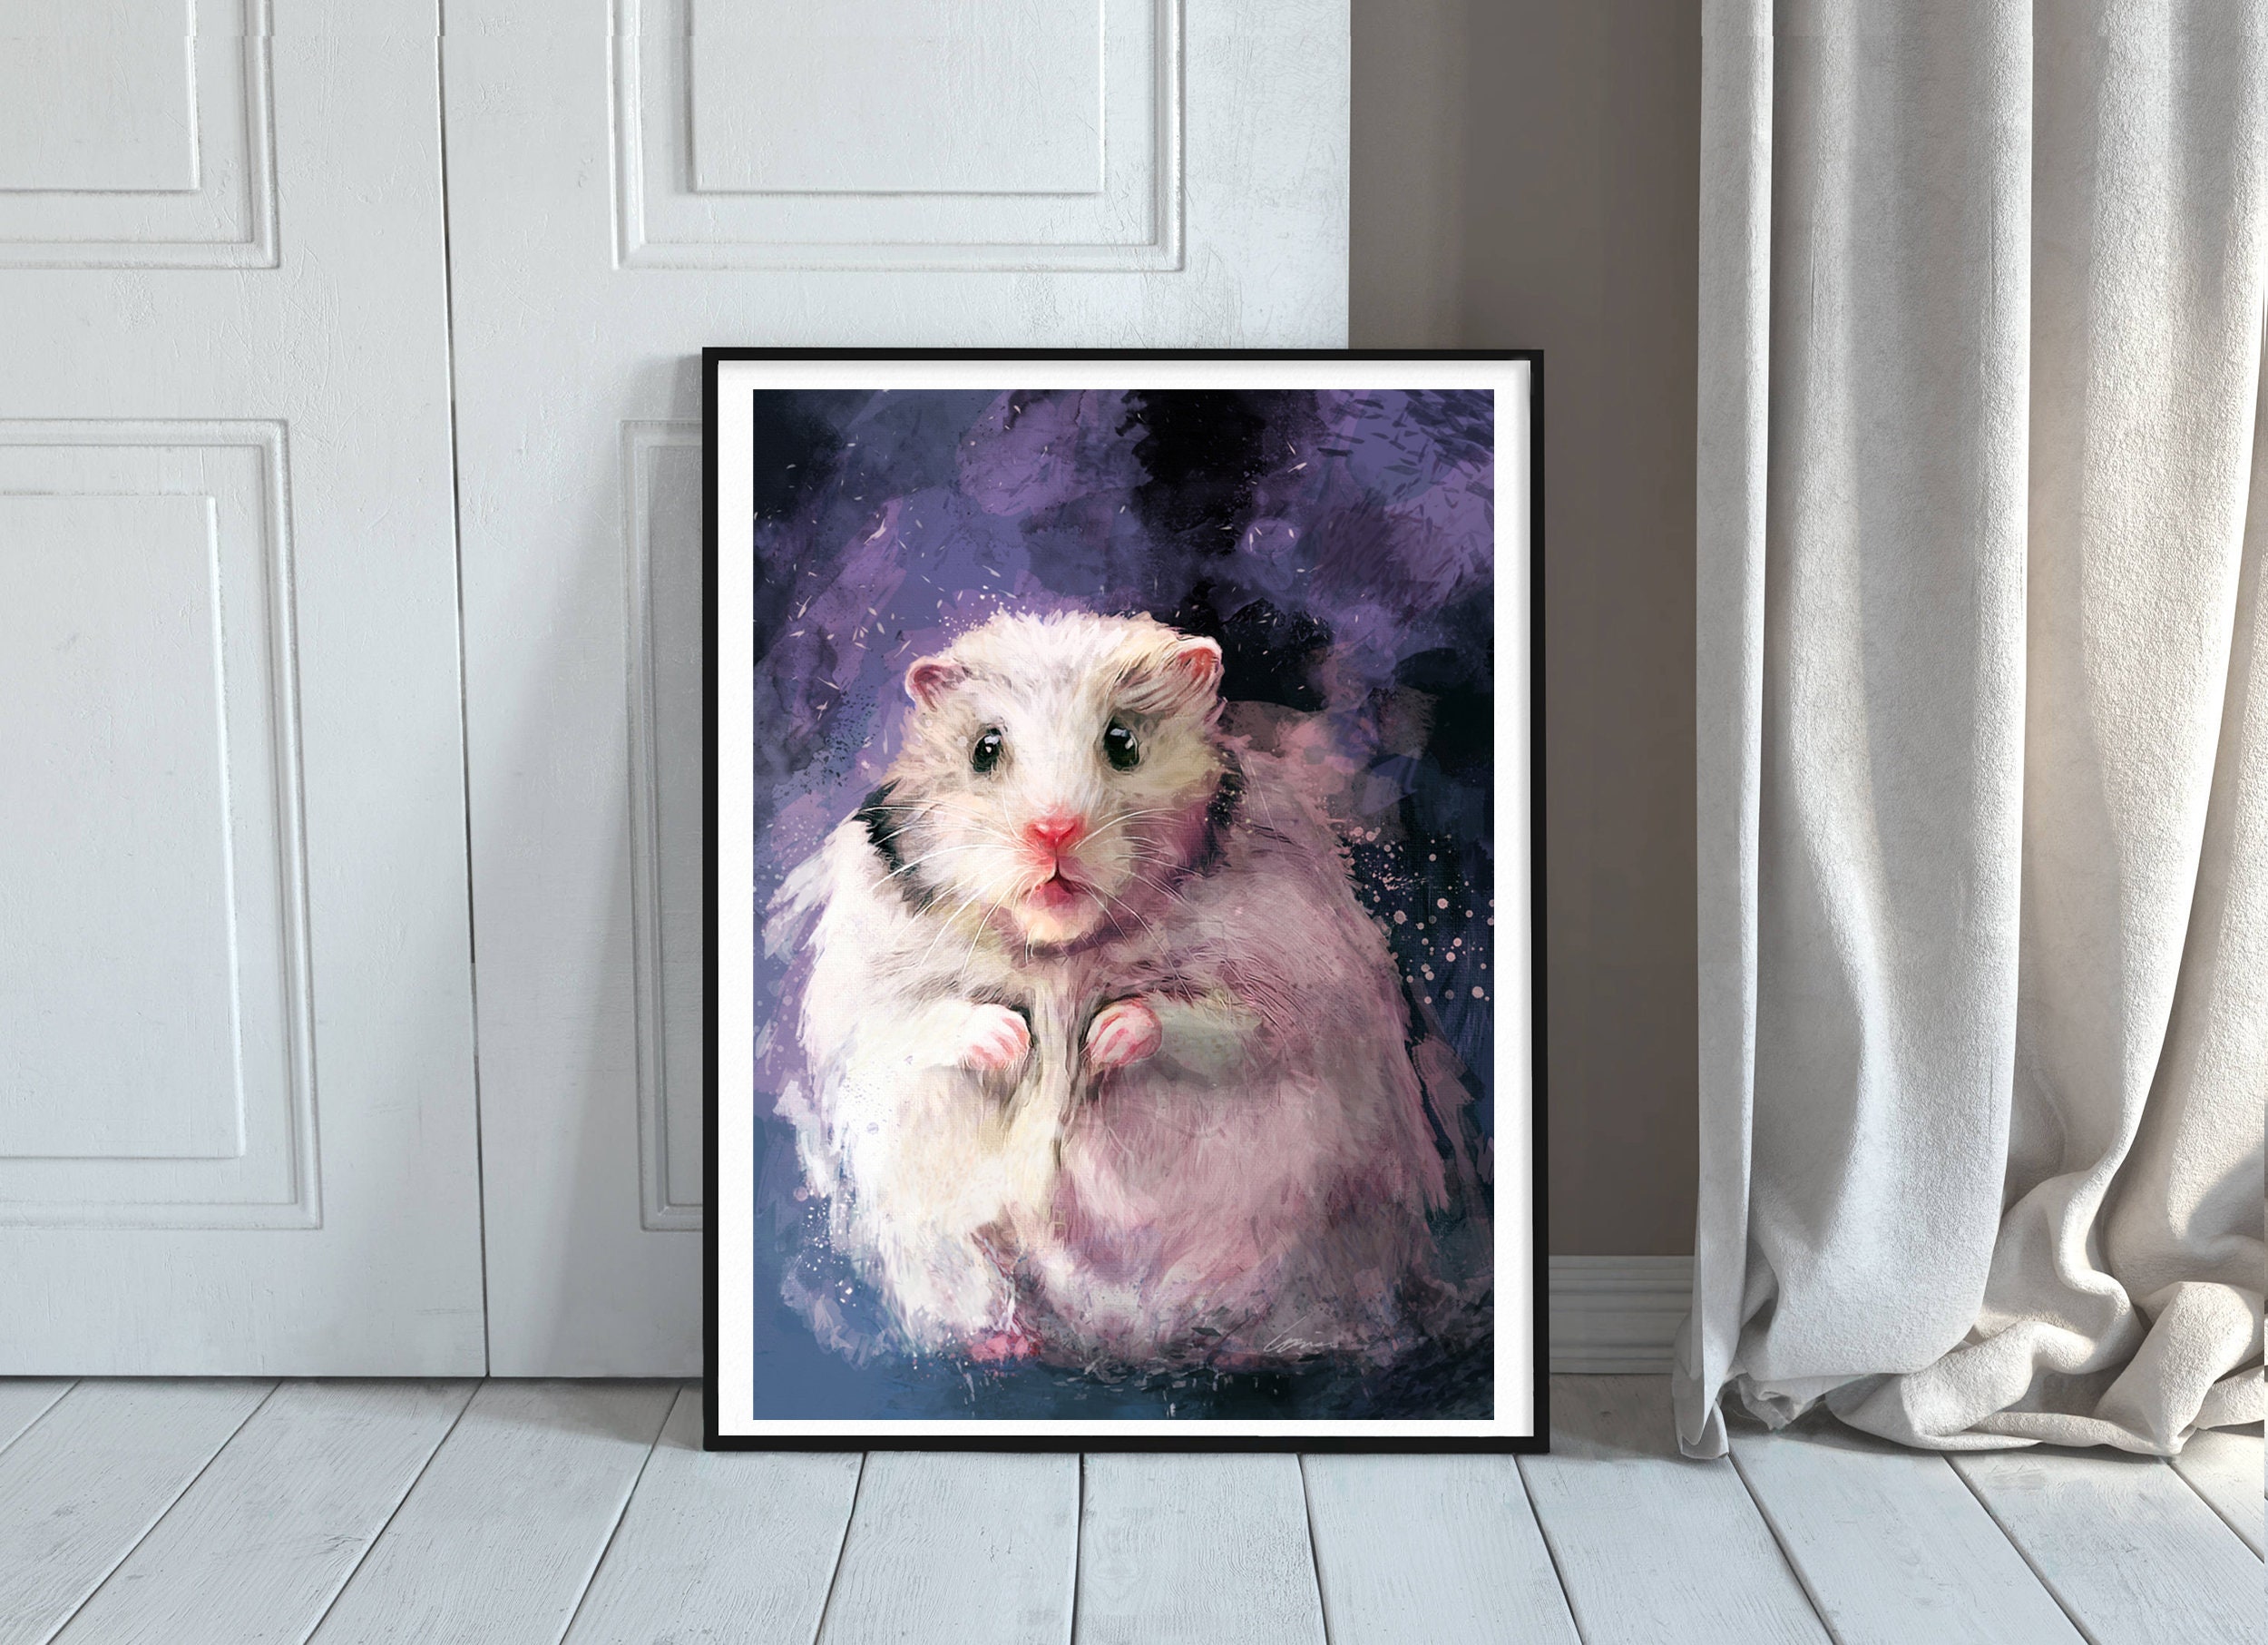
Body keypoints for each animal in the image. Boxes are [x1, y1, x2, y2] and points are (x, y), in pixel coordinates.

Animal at [769, 609, 1457, 1370]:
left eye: (1122, 742)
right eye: (984, 748)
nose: (1053, 831)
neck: (1063, 951)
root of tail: (1103, 1340)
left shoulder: (1289, 983)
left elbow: (1208, 1020)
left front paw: (1103, 1038)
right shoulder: (867, 991)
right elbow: (924, 1022)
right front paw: (1013, 1039)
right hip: (933, 1238)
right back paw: (1006, 1341)